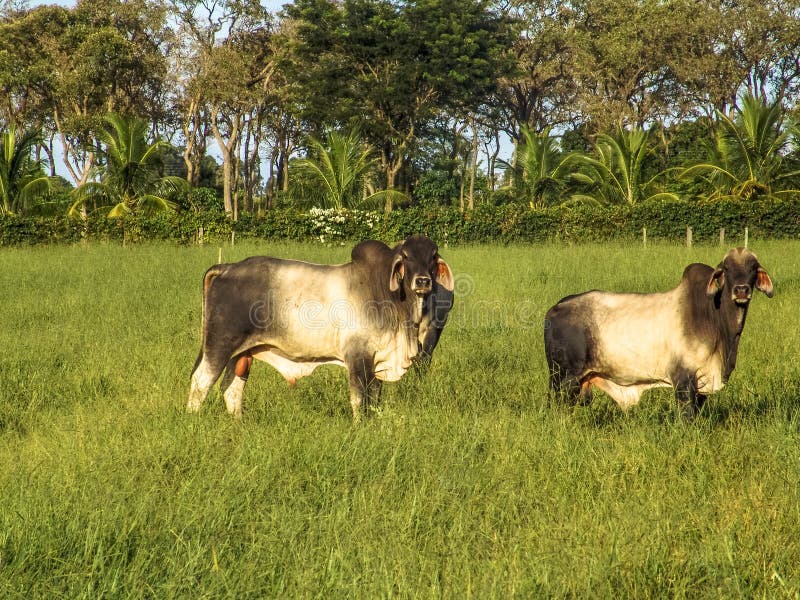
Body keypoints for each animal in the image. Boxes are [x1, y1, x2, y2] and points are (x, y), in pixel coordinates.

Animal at [187, 235, 454, 421]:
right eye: (406, 255)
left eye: (433, 256)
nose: (422, 281)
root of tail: (227, 267)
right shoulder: (357, 355)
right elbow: (360, 398)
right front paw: (360, 426)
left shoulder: (377, 359)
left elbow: (374, 398)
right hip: (219, 344)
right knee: (201, 382)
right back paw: (193, 421)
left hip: (241, 352)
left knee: (231, 388)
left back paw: (239, 423)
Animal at [544, 248, 773, 417]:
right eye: (726, 268)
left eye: (753, 267)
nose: (741, 290)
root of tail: (556, 307)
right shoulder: (684, 380)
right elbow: (687, 416)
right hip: (563, 379)